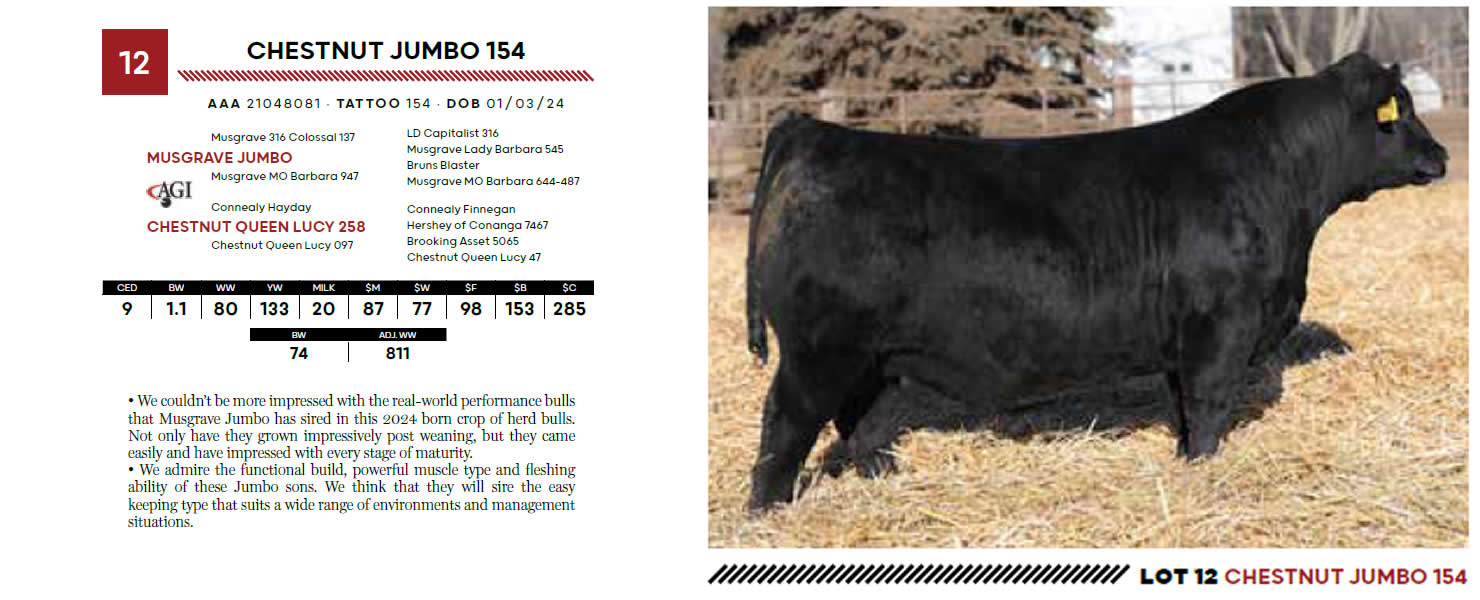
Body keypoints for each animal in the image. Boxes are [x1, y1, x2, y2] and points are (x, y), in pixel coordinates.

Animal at [743, 52, 1448, 512]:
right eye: (1402, 113)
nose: (1440, 155)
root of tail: (813, 131)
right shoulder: (1222, 327)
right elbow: (1210, 406)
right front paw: (1203, 471)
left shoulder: (1184, 338)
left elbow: (1185, 408)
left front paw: (1184, 460)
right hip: (818, 350)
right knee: (786, 422)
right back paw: (769, 510)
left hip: (869, 354)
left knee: (857, 419)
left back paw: (888, 479)